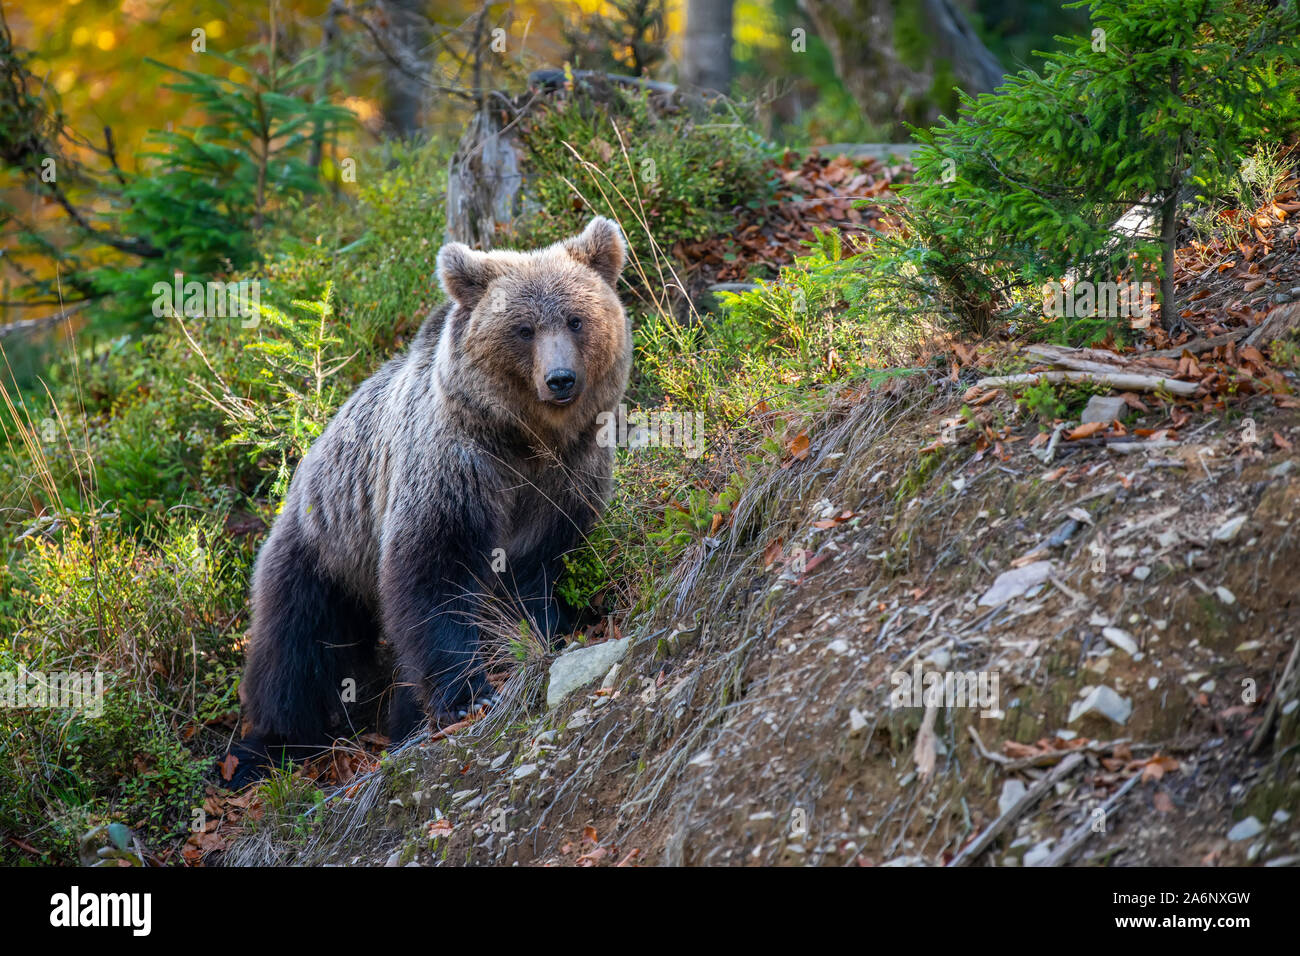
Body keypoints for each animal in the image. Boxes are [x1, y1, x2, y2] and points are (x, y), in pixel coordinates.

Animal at [226, 217, 631, 785]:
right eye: (523, 329)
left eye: (576, 320)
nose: (560, 379)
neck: (526, 441)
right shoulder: (454, 466)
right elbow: (434, 571)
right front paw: (468, 696)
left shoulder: (566, 479)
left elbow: (541, 569)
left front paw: (541, 634)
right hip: (327, 546)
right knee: (296, 645)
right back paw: (268, 747)